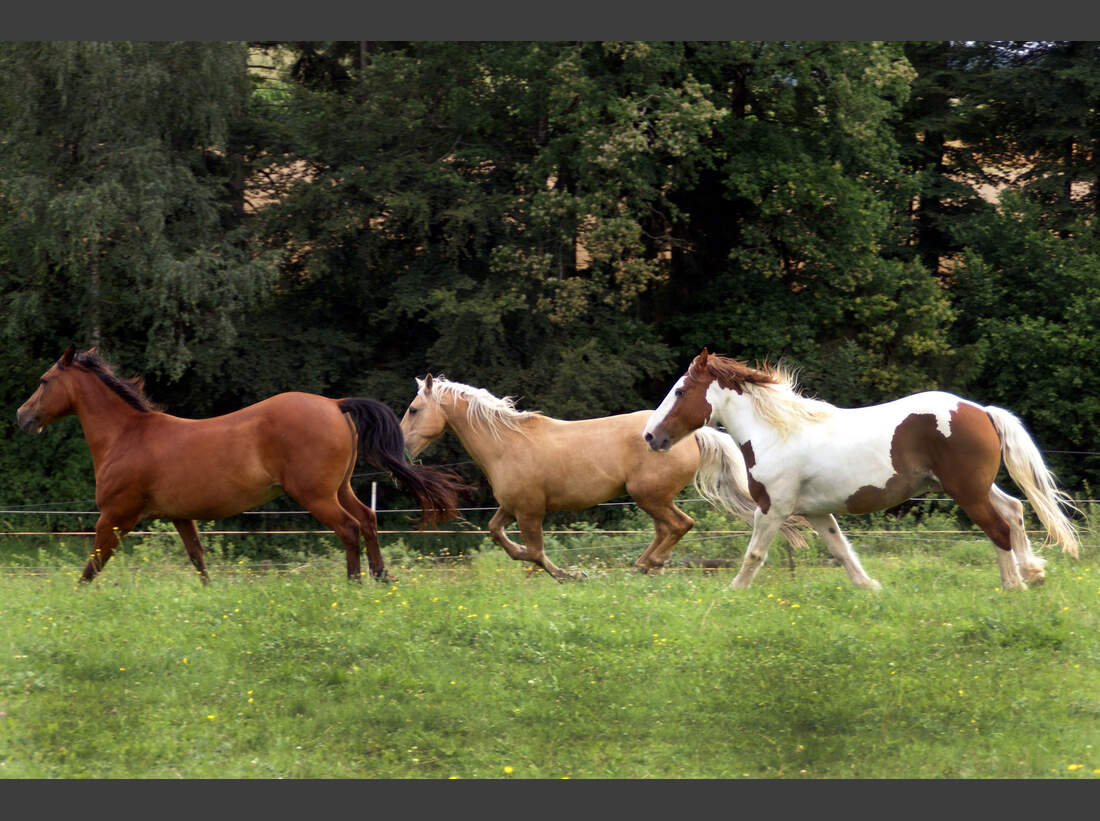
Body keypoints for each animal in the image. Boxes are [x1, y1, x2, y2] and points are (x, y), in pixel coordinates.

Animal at [16, 346, 467, 584]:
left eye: (43, 381)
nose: (22, 416)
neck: (127, 436)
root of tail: (334, 404)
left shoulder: (116, 516)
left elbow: (91, 567)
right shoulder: (181, 516)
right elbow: (199, 560)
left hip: (316, 495)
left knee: (349, 529)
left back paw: (354, 585)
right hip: (340, 488)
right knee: (369, 521)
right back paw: (381, 579)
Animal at [398, 373, 806, 580]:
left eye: (414, 409)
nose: (401, 446)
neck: (507, 443)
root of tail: (692, 435)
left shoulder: (530, 512)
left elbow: (537, 552)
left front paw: (568, 574)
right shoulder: (512, 507)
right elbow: (498, 534)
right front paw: (526, 558)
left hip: (649, 495)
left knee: (680, 524)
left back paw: (648, 564)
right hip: (652, 499)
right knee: (666, 529)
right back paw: (644, 565)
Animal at [643, 348, 1081, 592]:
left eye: (680, 391)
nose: (650, 436)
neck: (775, 433)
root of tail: (981, 411)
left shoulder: (773, 508)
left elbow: (754, 554)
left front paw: (732, 593)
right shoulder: (816, 512)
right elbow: (841, 551)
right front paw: (870, 587)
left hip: (967, 490)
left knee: (999, 528)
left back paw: (1013, 586)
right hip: (975, 486)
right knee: (1015, 510)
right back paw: (1034, 573)